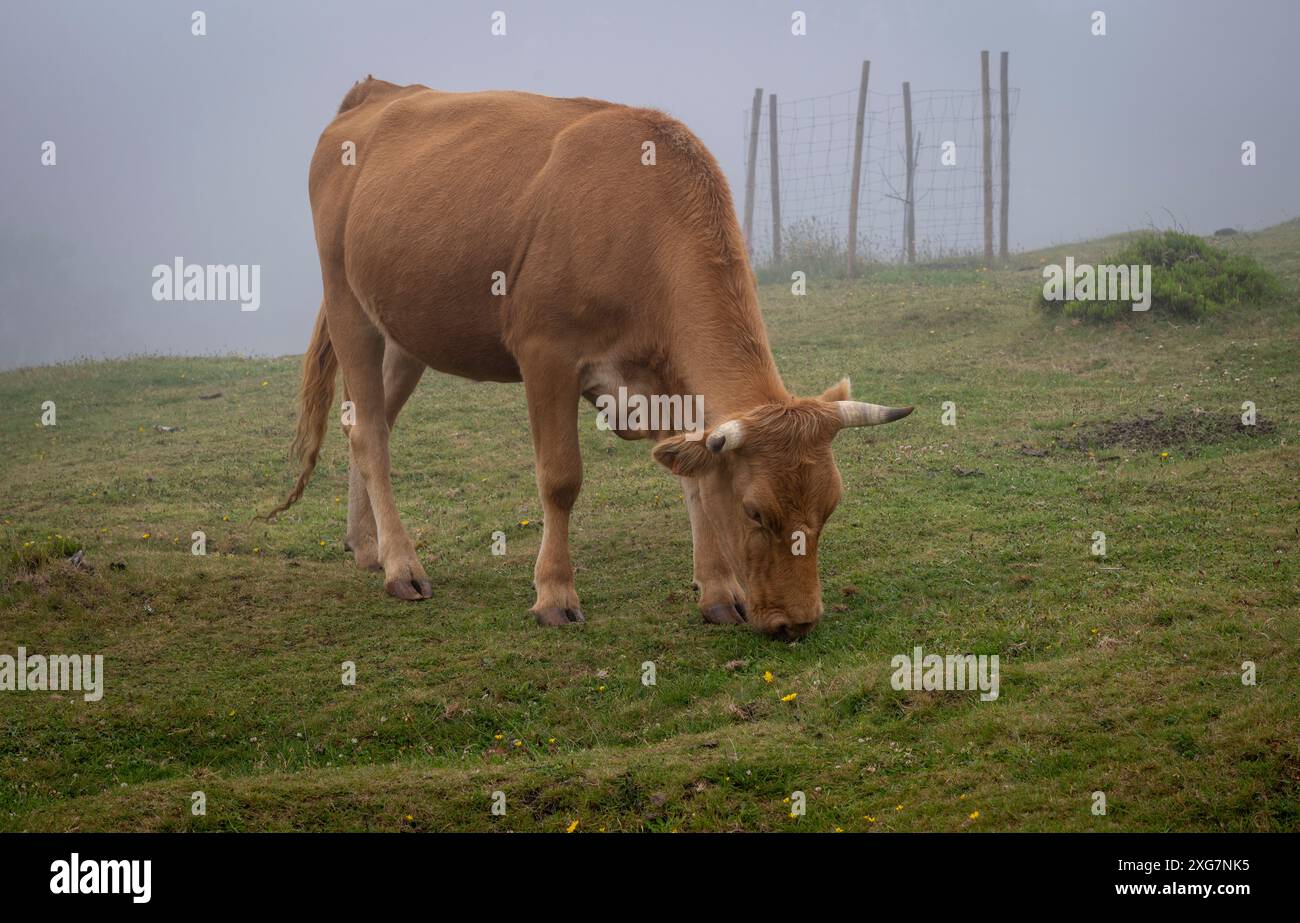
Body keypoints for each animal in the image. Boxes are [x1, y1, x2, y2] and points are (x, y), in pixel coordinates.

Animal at [266, 78, 912, 640]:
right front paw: (554, 595)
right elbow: (560, 480)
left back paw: (368, 547)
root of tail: (378, 92)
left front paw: (717, 593)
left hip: (406, 330)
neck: (643, 222)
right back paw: (402, 566)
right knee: (370, 432)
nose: (797, 623)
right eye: (756, 514)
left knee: (363, 422)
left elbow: (695, 479)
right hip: (348, 305)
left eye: (829, 508)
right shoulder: (545, 353)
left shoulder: (672, 381)